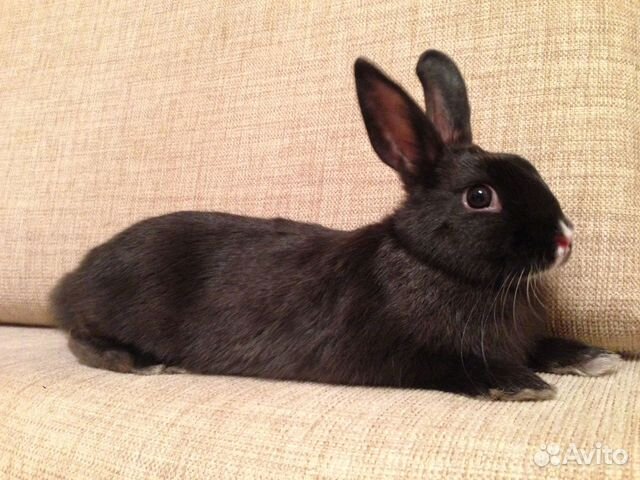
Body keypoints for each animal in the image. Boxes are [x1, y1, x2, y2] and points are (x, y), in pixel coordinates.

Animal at [51, 50, 621, 401]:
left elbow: (546, 345)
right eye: (480, 197)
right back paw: (138, 361)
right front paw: (524, 385)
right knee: (80, 338)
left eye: (528, 166)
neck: (430, 263)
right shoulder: (406, 355)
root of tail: (72, 279)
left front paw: (598, 358)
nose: (565, 238)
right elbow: (455, 367)